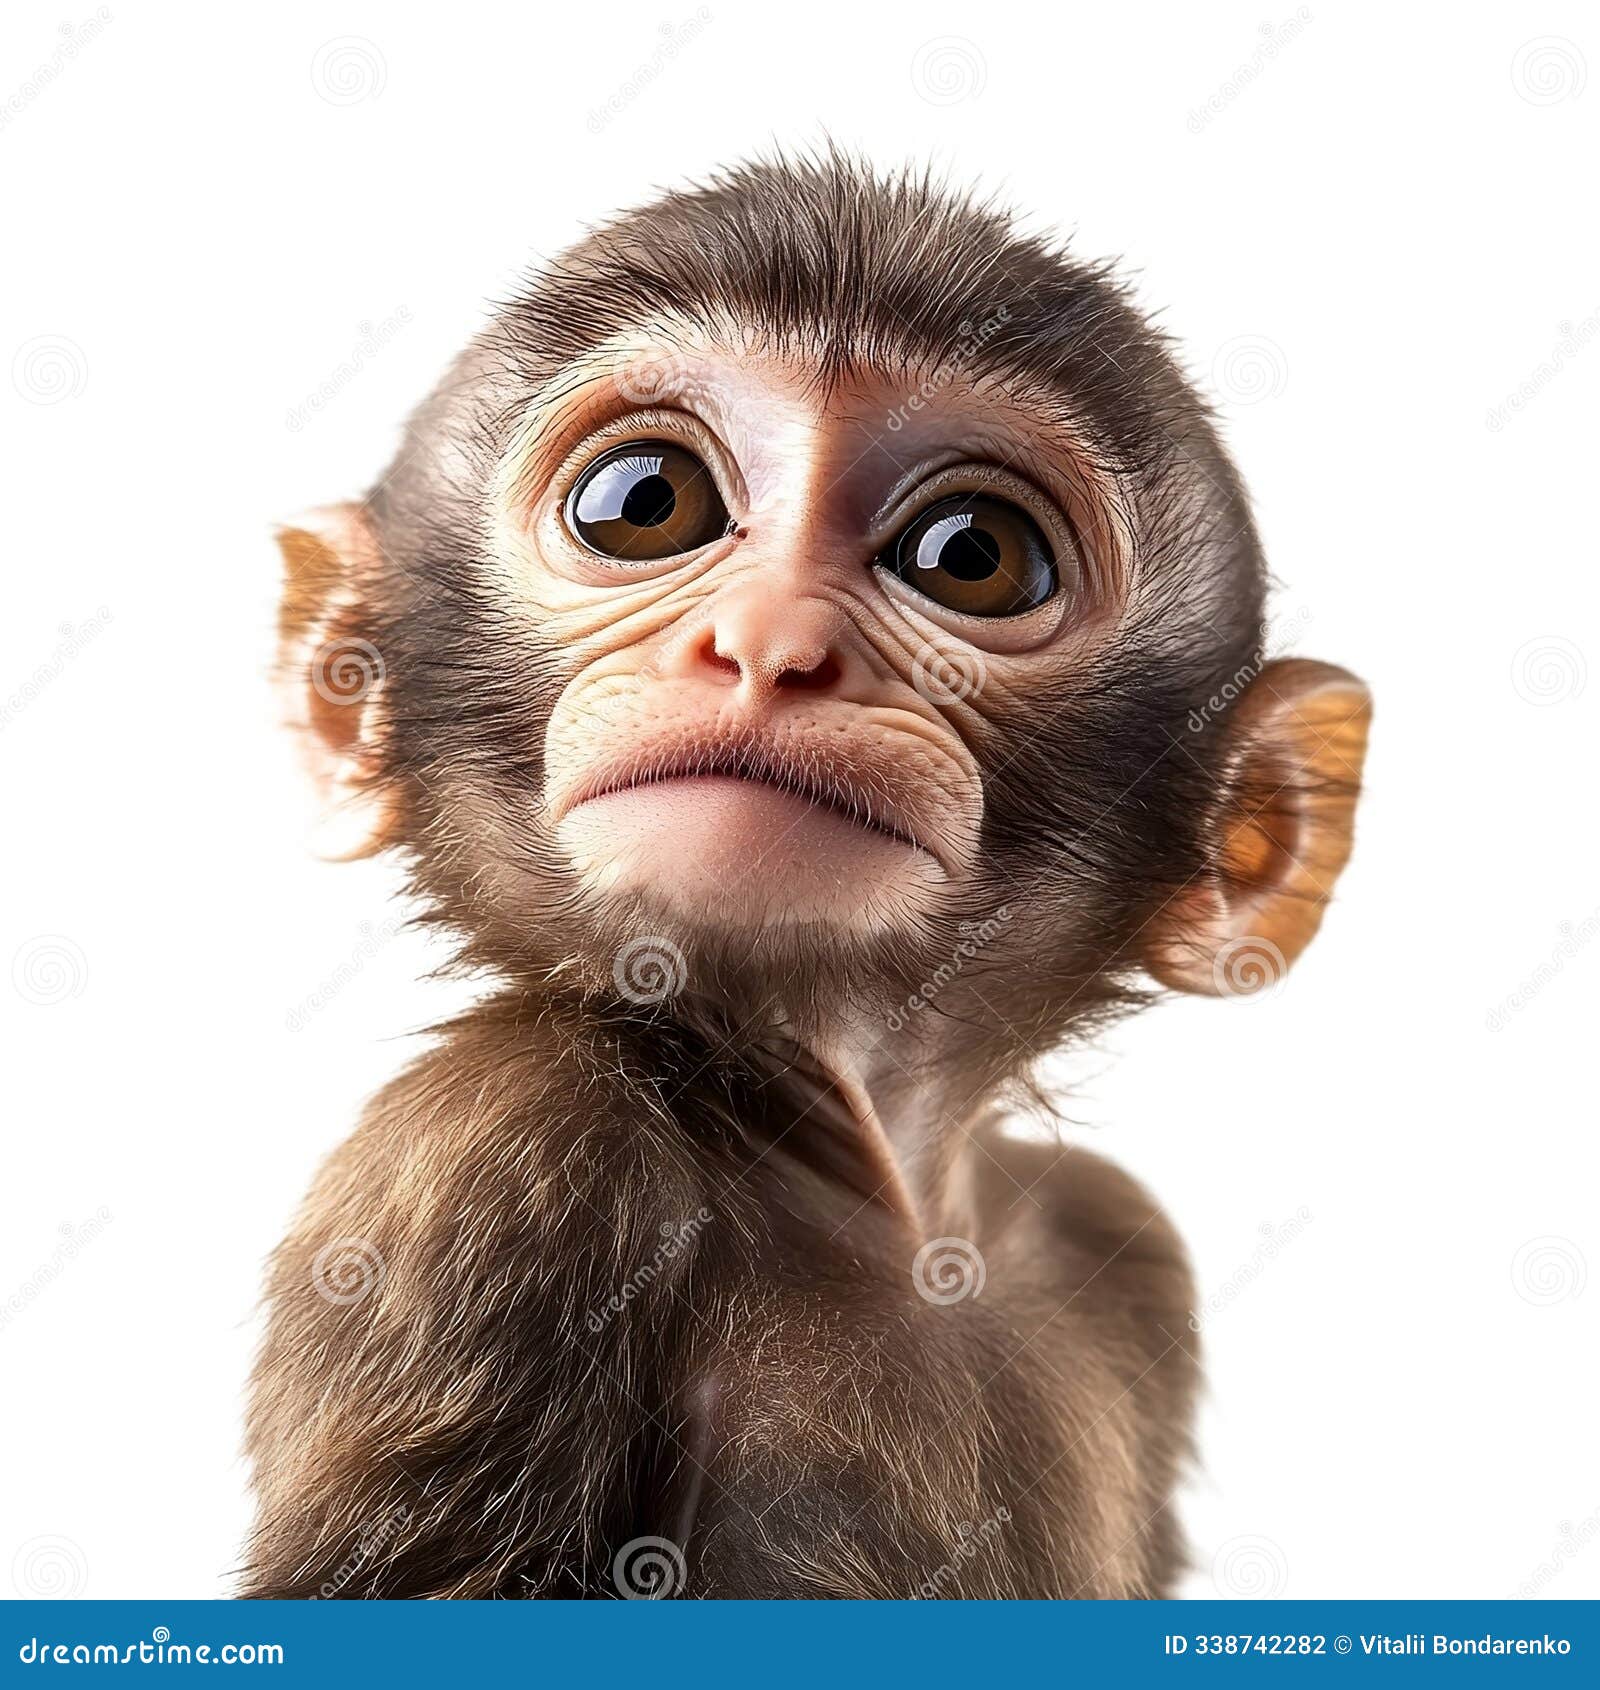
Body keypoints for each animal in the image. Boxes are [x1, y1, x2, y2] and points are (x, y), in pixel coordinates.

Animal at [245, 153, 1369, 1600]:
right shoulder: (490, 1147)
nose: (769, 643)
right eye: (644, 502)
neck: (885, 1186)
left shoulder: (1120, 1246)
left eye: (971, 553)